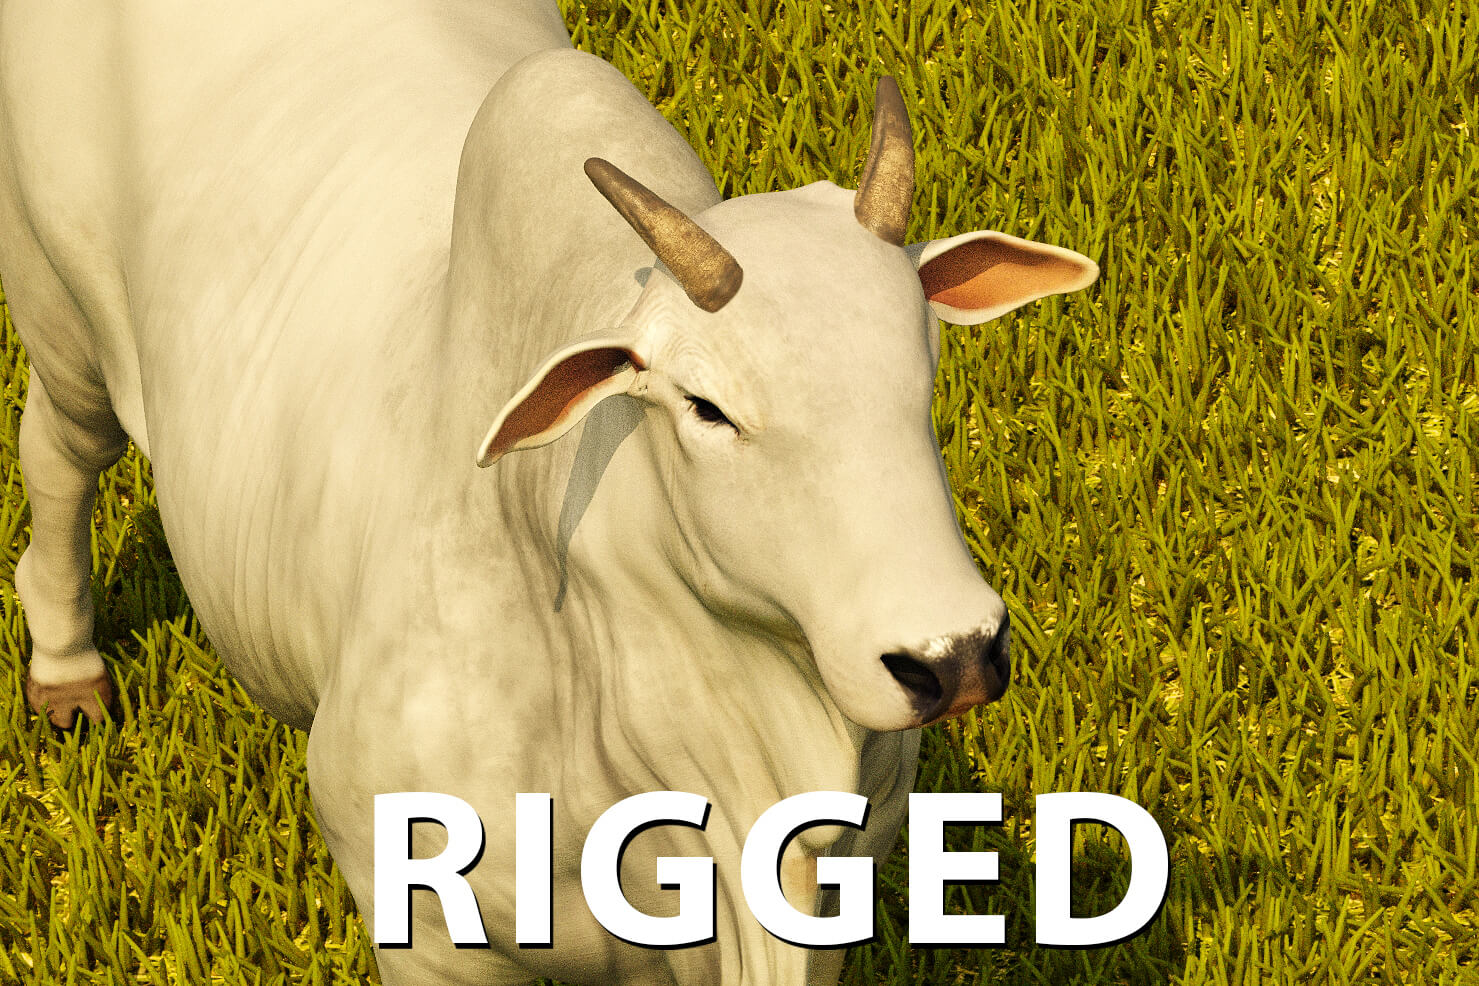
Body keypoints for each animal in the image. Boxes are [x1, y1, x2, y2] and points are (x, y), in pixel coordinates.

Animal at [0, 1, 1098, 982]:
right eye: (706, 406)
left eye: (922, 364)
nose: (953, 656)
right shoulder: (428, 937)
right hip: (60, 315)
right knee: (59, 456)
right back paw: (65, 671)